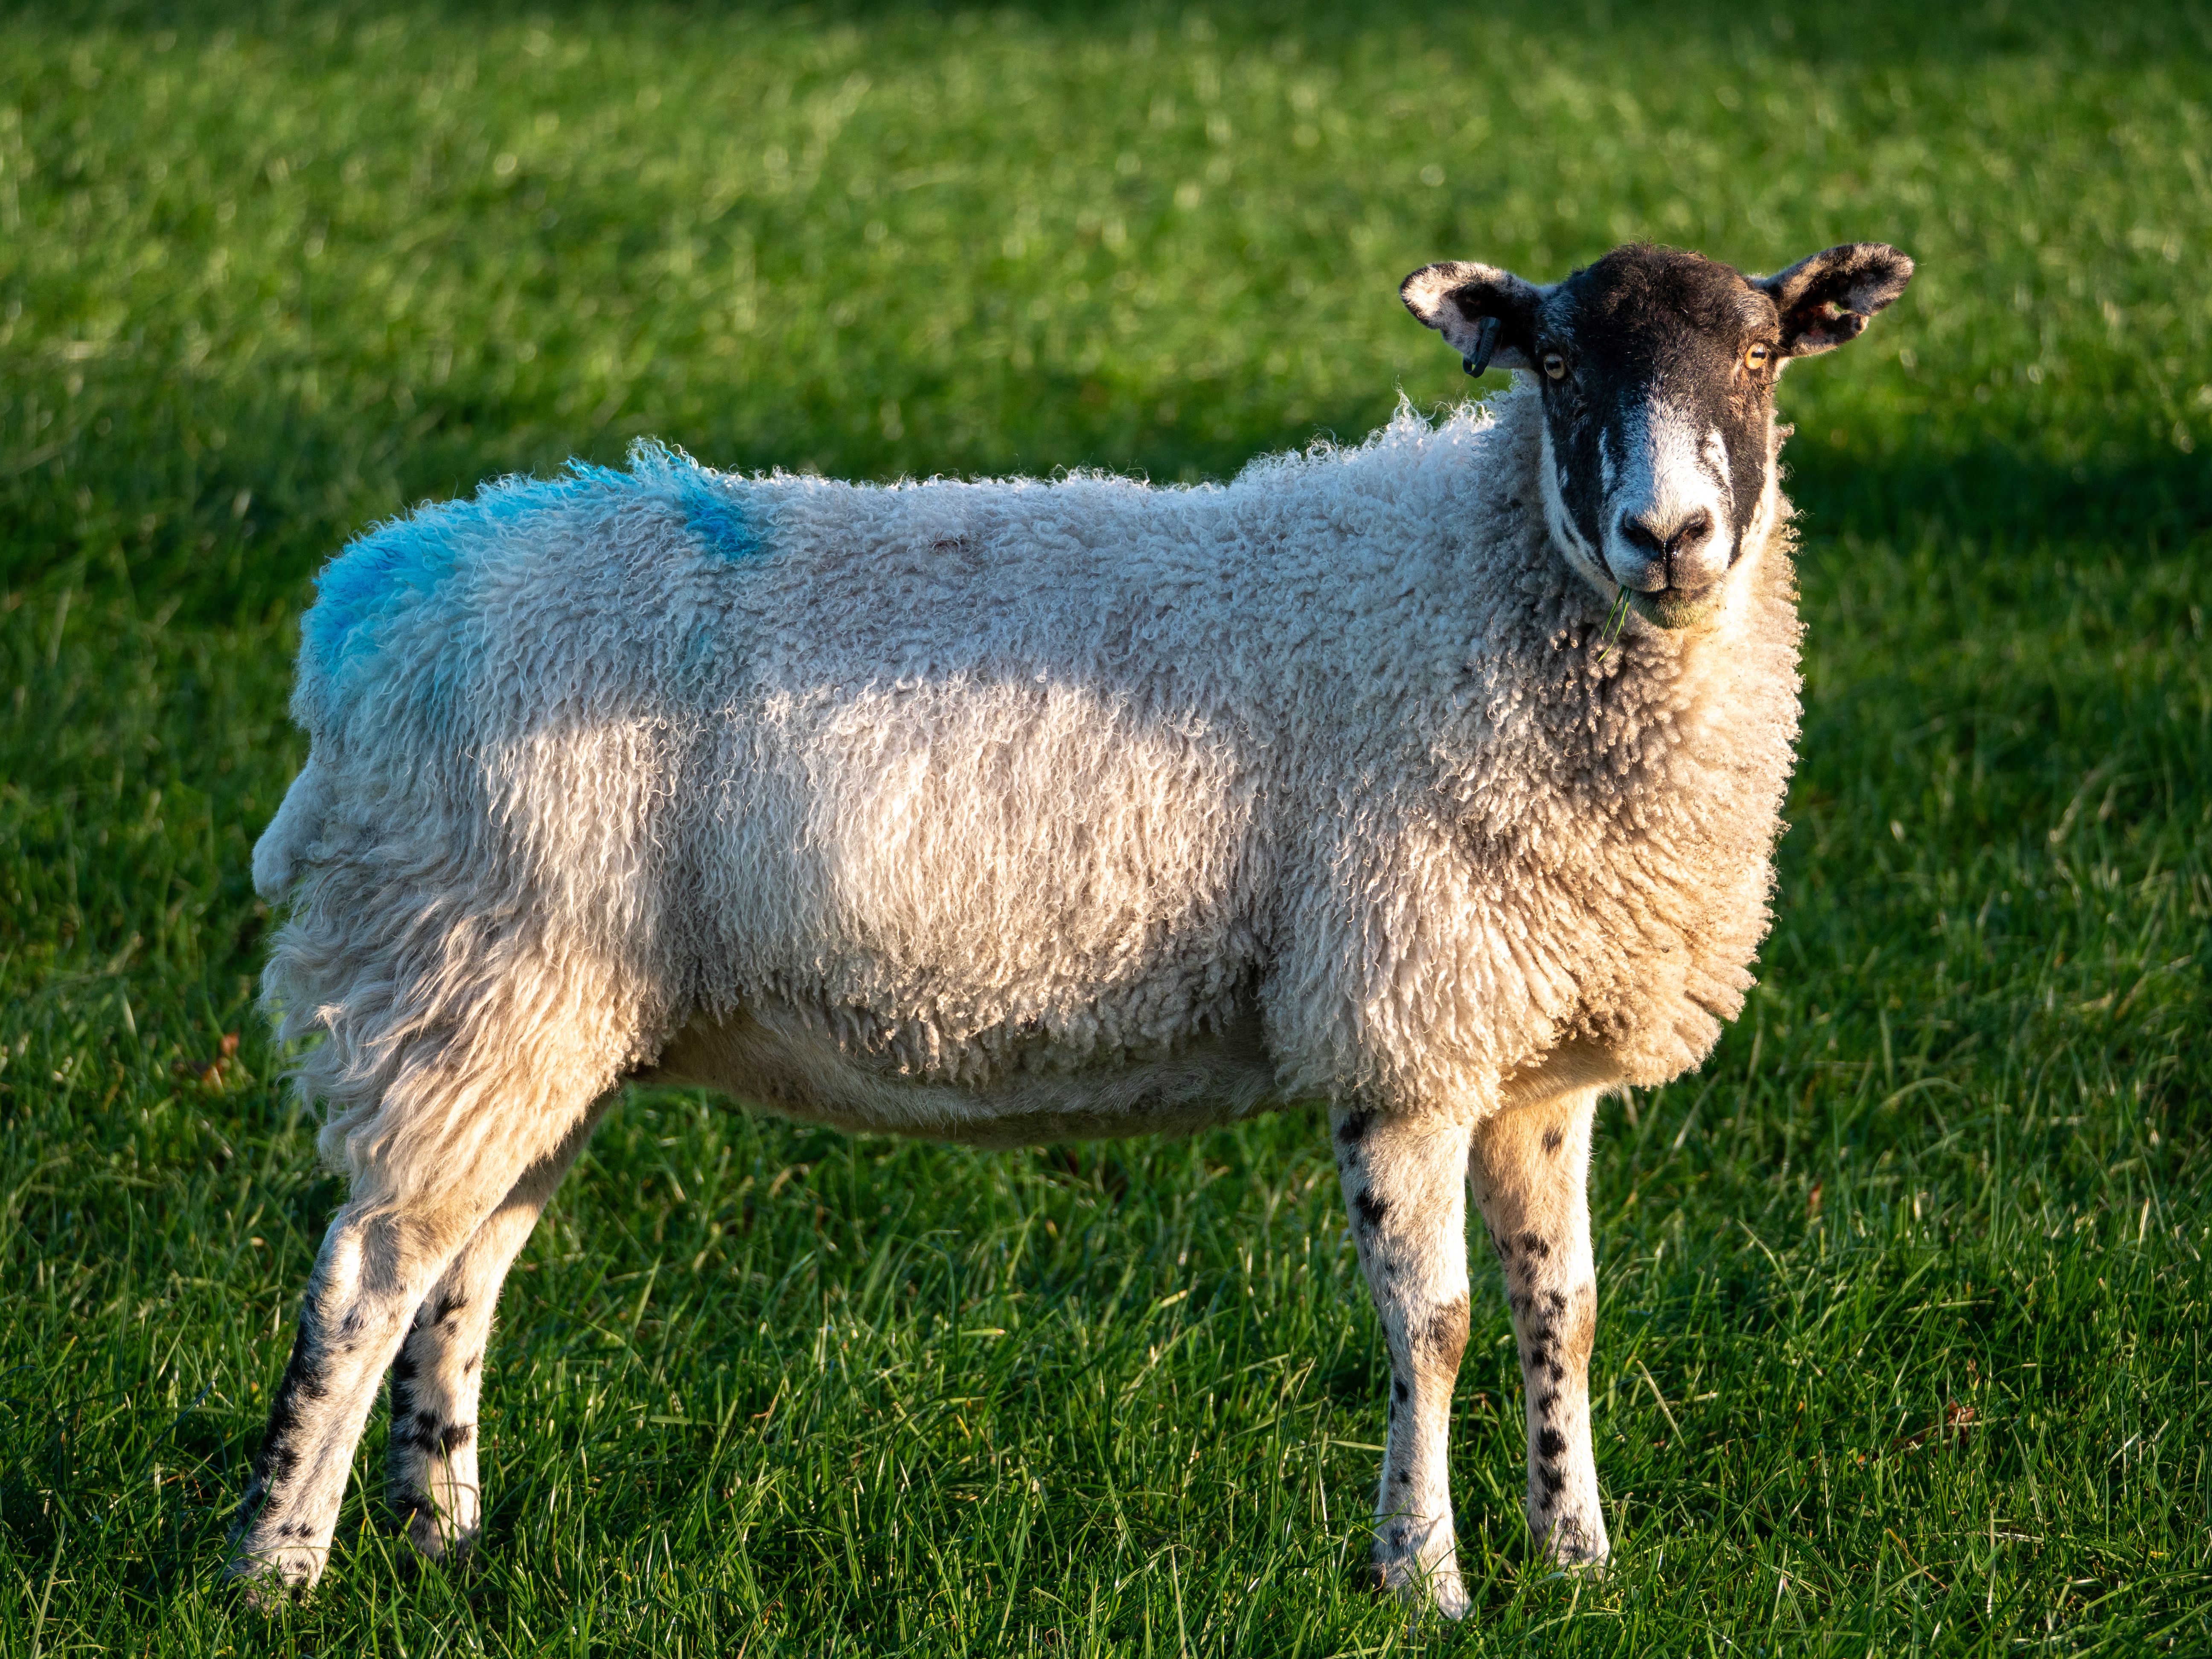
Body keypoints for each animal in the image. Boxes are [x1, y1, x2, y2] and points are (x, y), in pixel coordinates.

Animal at [231, 239, 1913, 1615]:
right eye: (1556, 366)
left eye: (1761, 356)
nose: (1668, 535)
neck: (1476, 587)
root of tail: (365, 606)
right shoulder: (1402, 1021)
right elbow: (1431, 1324)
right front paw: (1423, 1580)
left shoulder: (1535, 1053)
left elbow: (1560, 1312)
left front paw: (1579, 1563)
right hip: (471, 966)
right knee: (366, 1272)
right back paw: (279, 1568)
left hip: (536, 1015)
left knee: (461, 1274)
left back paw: (441, 1538)